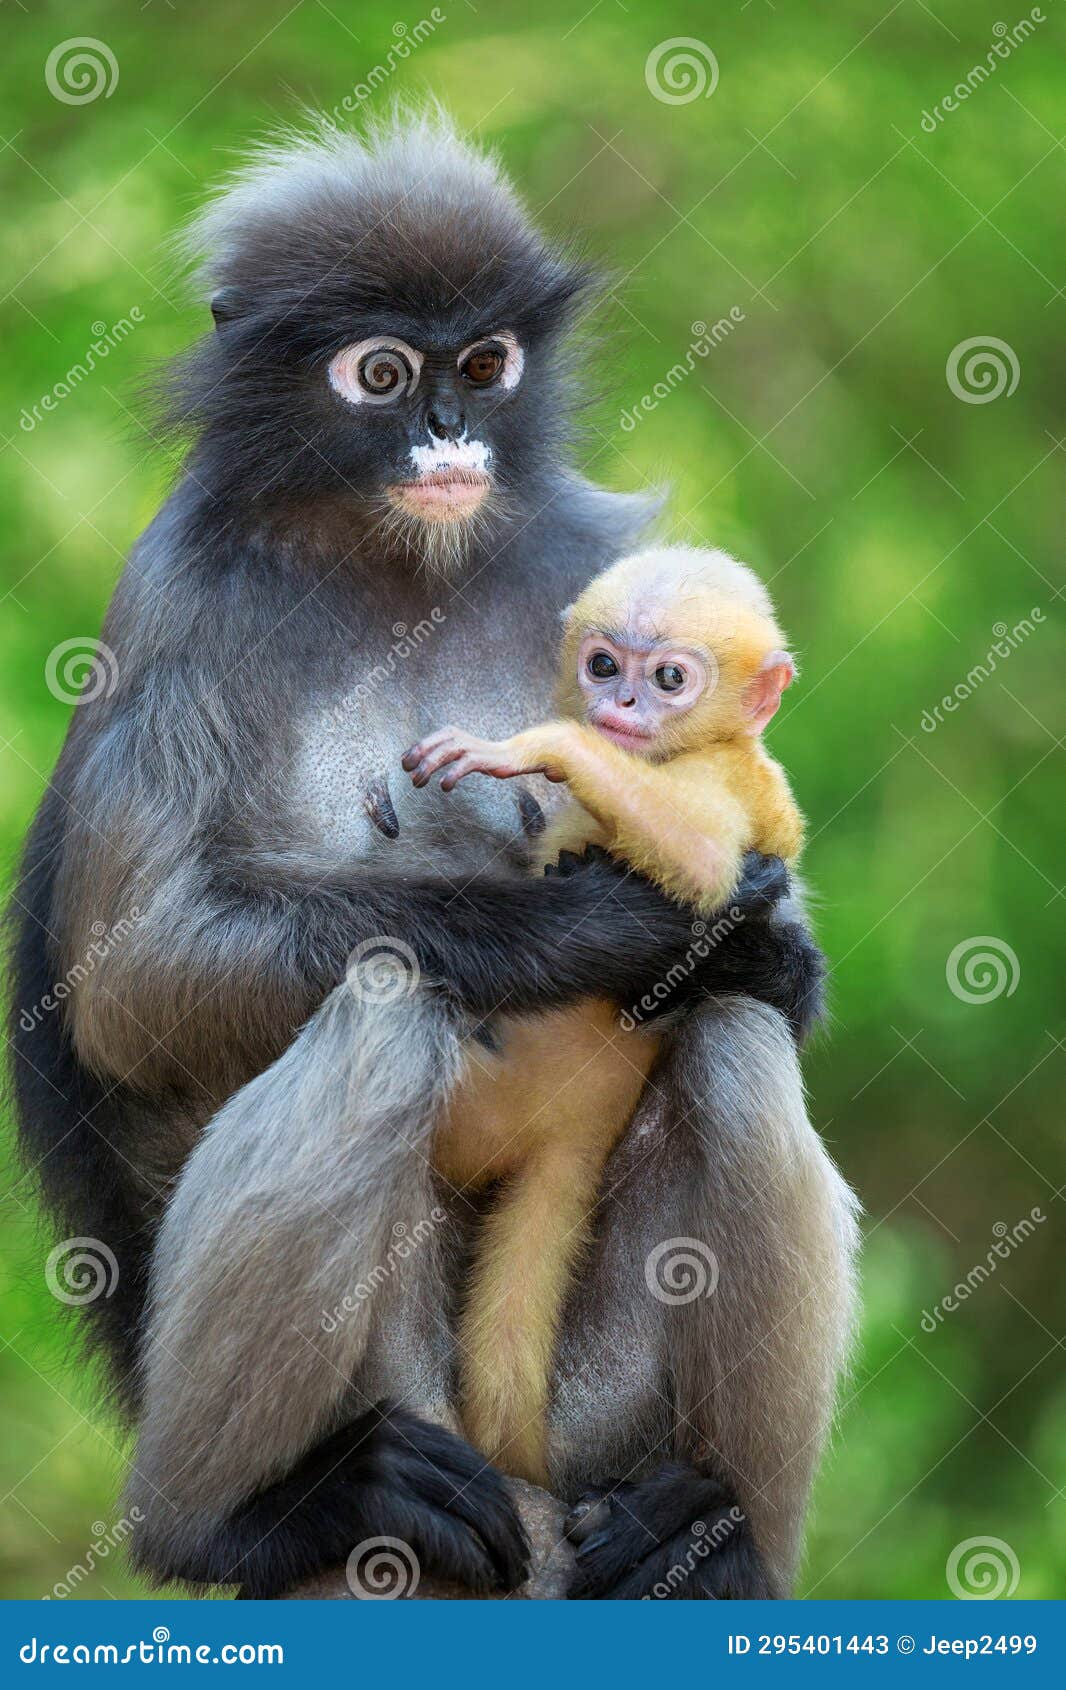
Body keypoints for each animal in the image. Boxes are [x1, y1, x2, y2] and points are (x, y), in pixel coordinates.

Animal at [401, 545, 806, 1489]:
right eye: (602, 665)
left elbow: (704, 860)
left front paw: (537, 750)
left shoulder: (722, 779)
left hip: (479, 1110)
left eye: (668, 679)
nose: (617, 708)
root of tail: (569, 1129)